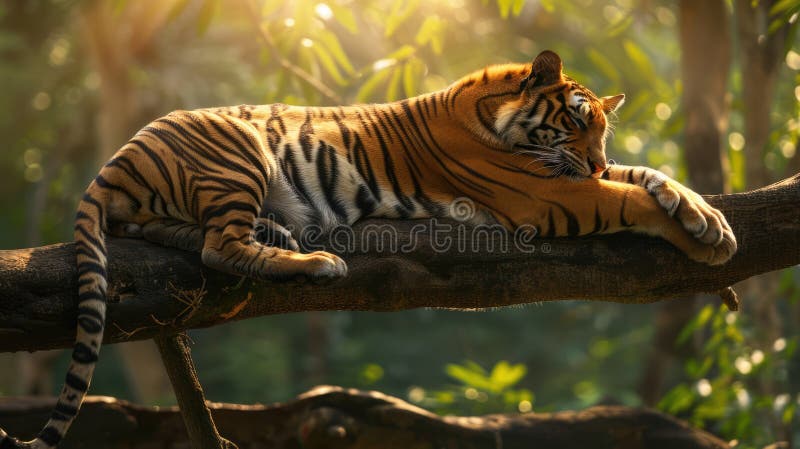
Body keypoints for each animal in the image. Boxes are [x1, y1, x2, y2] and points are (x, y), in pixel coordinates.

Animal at [0, 50, 736, 448]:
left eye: (605, 130)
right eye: (578, 122)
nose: (595, 158)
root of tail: (118, 155)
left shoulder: (565, 180)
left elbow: (647, 177)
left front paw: (706, 218)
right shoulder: (543, 193)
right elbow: (626, 198)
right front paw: (709, 245)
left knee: (197, 237)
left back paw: (279, 235)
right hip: (239, 148)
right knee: (217, 247)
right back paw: (316, 260)